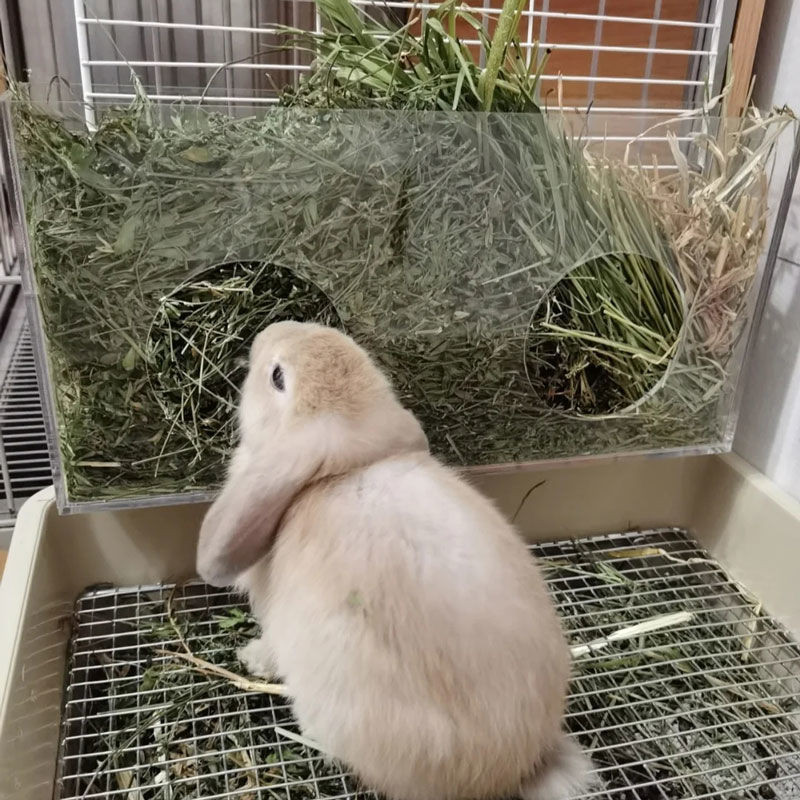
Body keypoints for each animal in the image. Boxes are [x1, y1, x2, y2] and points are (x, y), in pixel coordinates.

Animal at [197, 320, 591, 800]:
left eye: (277, 376)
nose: (271, 329)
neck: (335, 473)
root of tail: (515, 770)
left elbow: (269, 644)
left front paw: (250, 658)